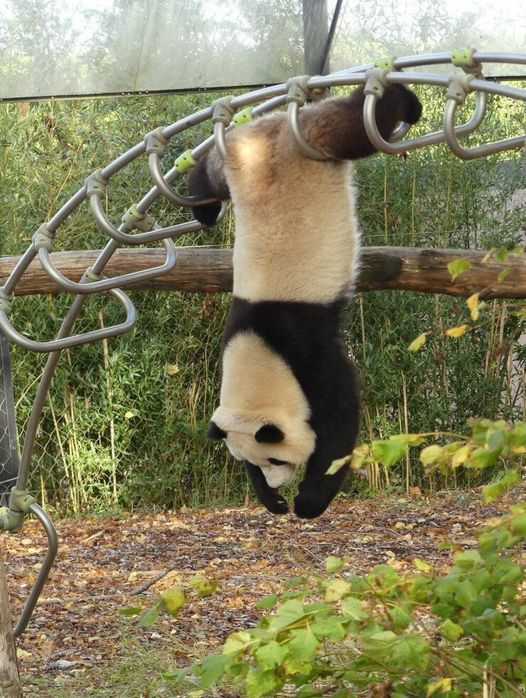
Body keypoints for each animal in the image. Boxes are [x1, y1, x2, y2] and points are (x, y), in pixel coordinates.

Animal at [189, 83, 422, 518]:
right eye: (249, 460)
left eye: (276, 458)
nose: (278, 482)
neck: (259, 347)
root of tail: (273, 125)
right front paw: (271, 499)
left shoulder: (307, 351)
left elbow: (340, 417)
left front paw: (308, 501)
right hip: (235, 155)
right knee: (207, 171)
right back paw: (205, 209)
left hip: (311, 140)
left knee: (356, 123)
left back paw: (404, 102)